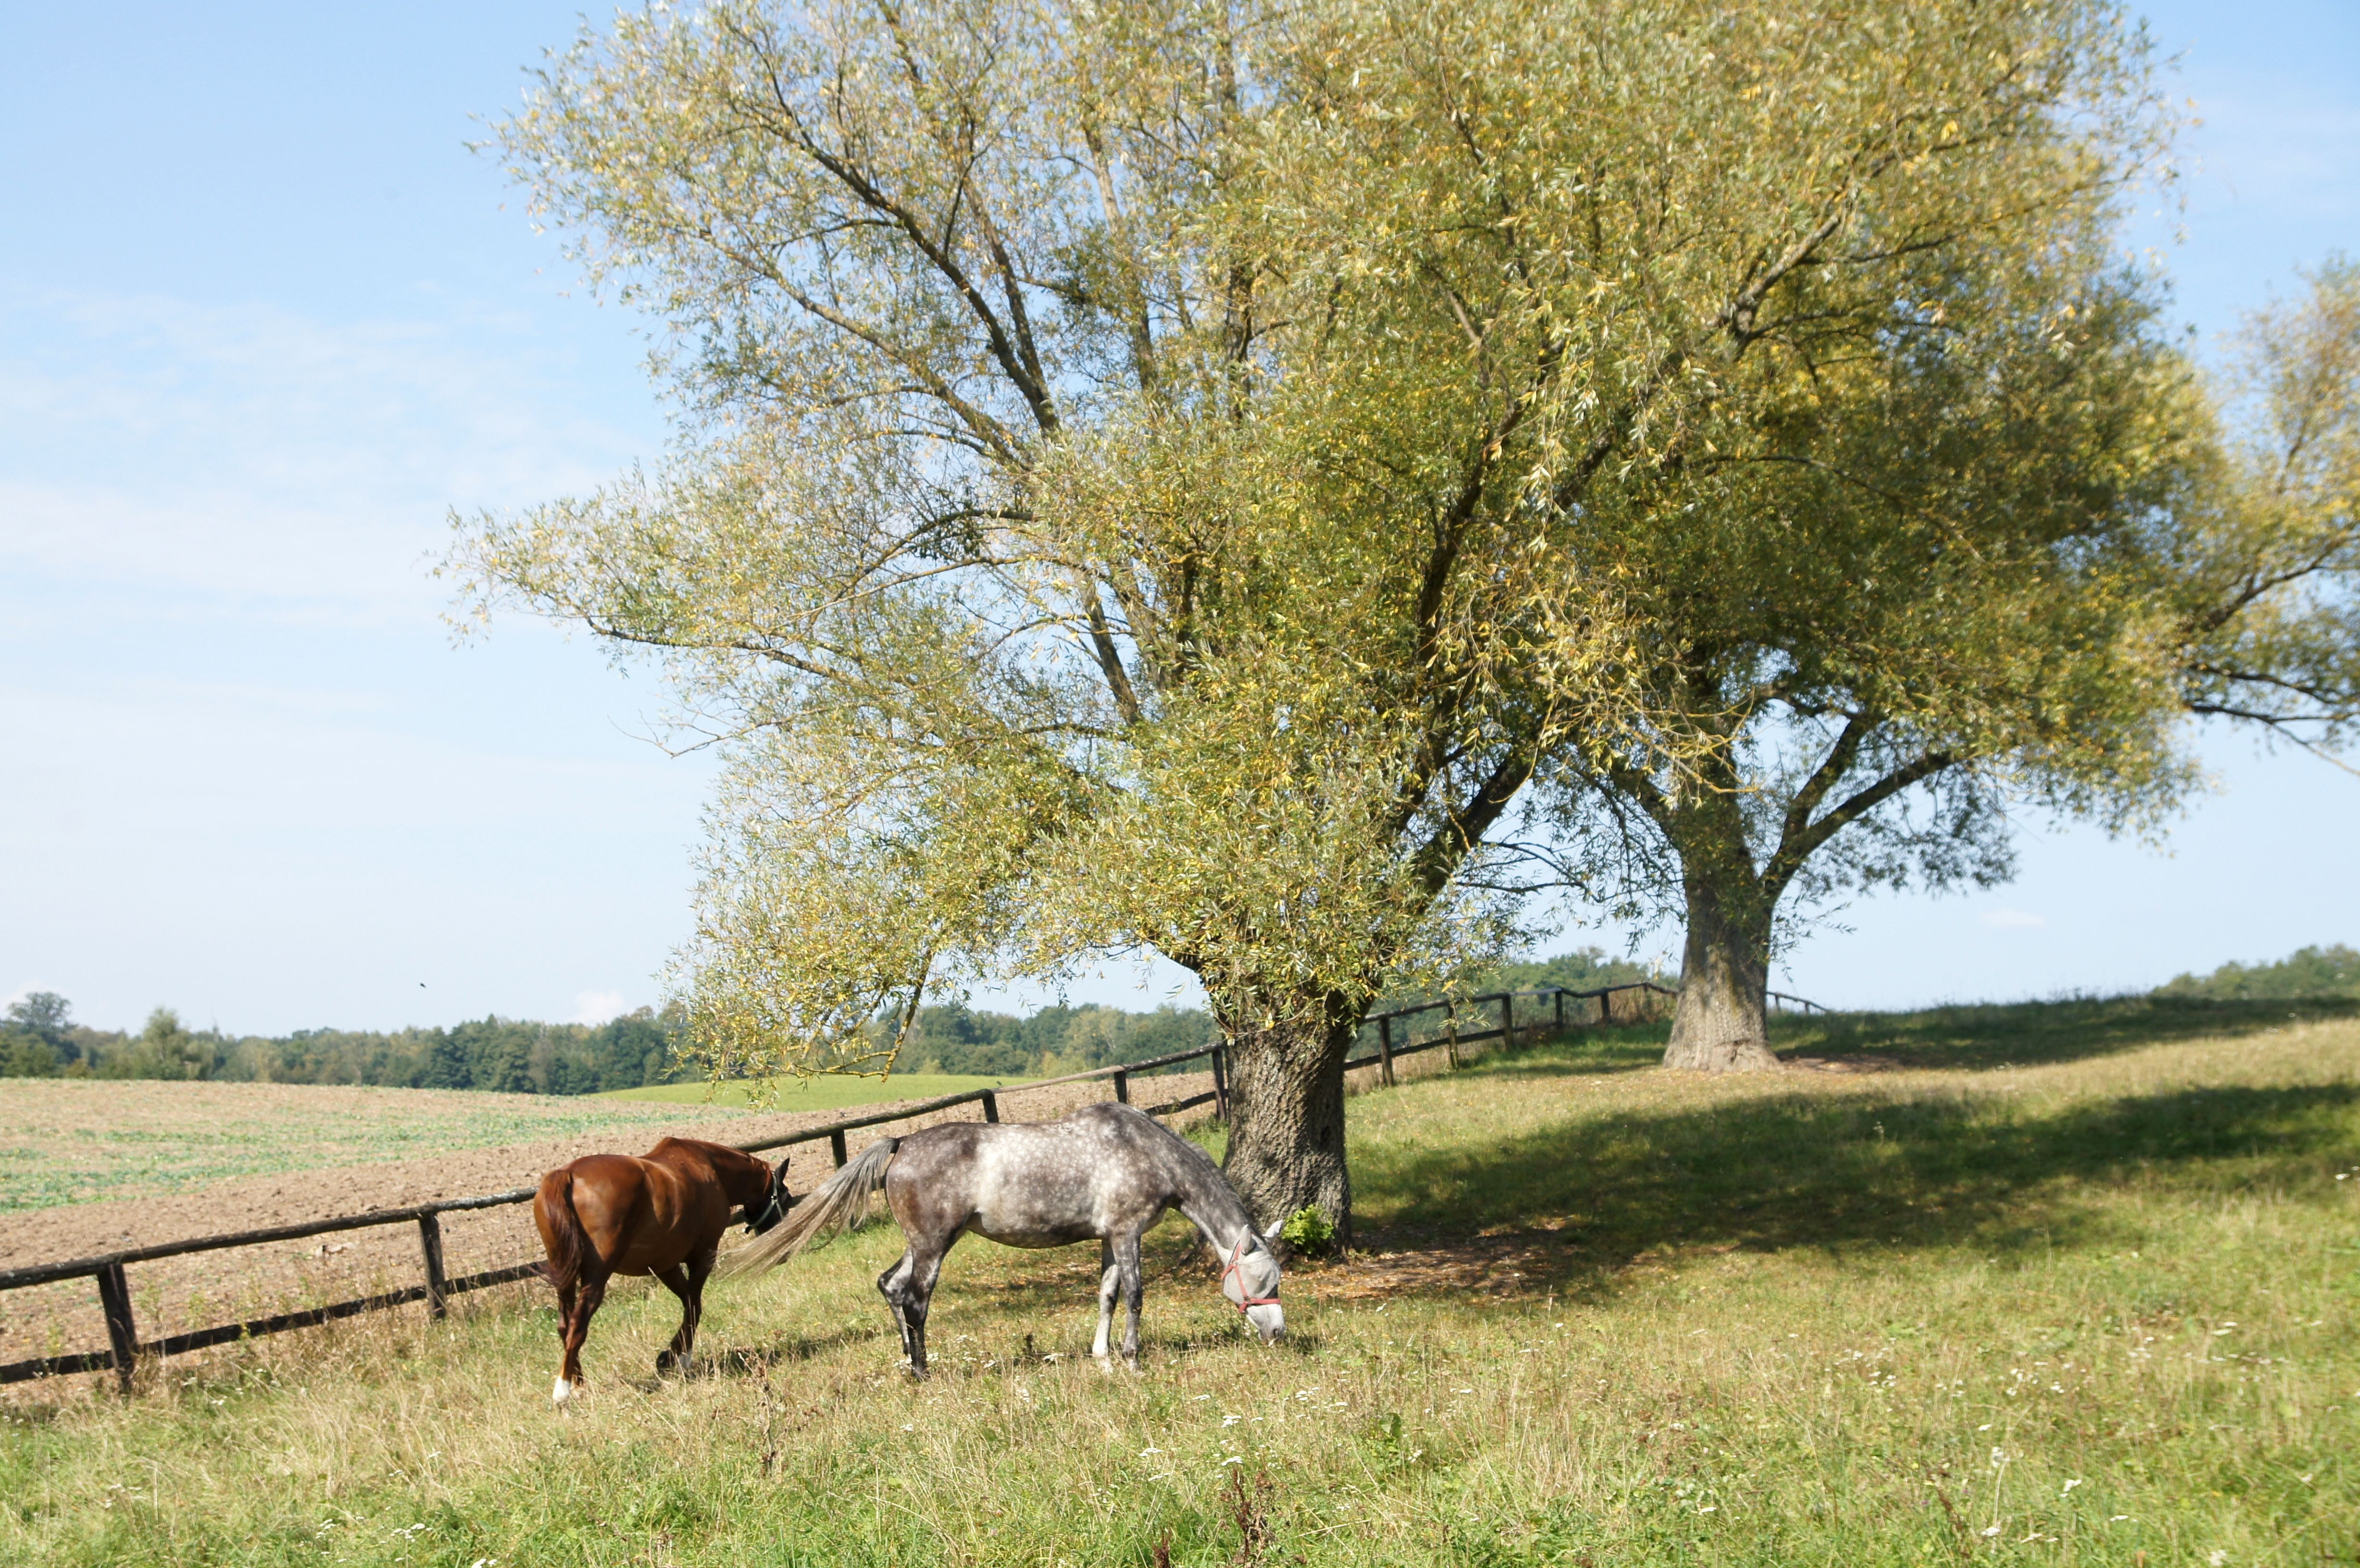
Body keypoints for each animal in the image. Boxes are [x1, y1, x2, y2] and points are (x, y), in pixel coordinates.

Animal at [533, 1135, 793, 1404]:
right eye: (786, 1198)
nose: (784, 1249)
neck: (711, 1168)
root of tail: (567, 1175)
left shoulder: (665, 1266)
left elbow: (689, 1302)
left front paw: (669, 1356)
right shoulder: (704, 1255)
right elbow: (695, 1306)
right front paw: (682, 1357)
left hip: (564, 1273)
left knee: (564, 1325)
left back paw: (579, 1383)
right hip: (596, 1276)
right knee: (577, 1325)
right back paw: (563, 1390)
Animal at [717, 1102, 1283, 1376]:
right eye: (1265, 1279)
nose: (1278, 1332)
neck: (1144, 1151)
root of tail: (901, 1144)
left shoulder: (1107, 1238)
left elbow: (1106, 1293)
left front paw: (1101, 1358)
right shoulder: (1127, 1234)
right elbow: (1136, 1297)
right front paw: (1132, 1362)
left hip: (919, 1244)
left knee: (889, 1286)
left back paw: (907, 1362)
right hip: (934, 1245)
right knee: (914, 1299)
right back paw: (922, 1372)